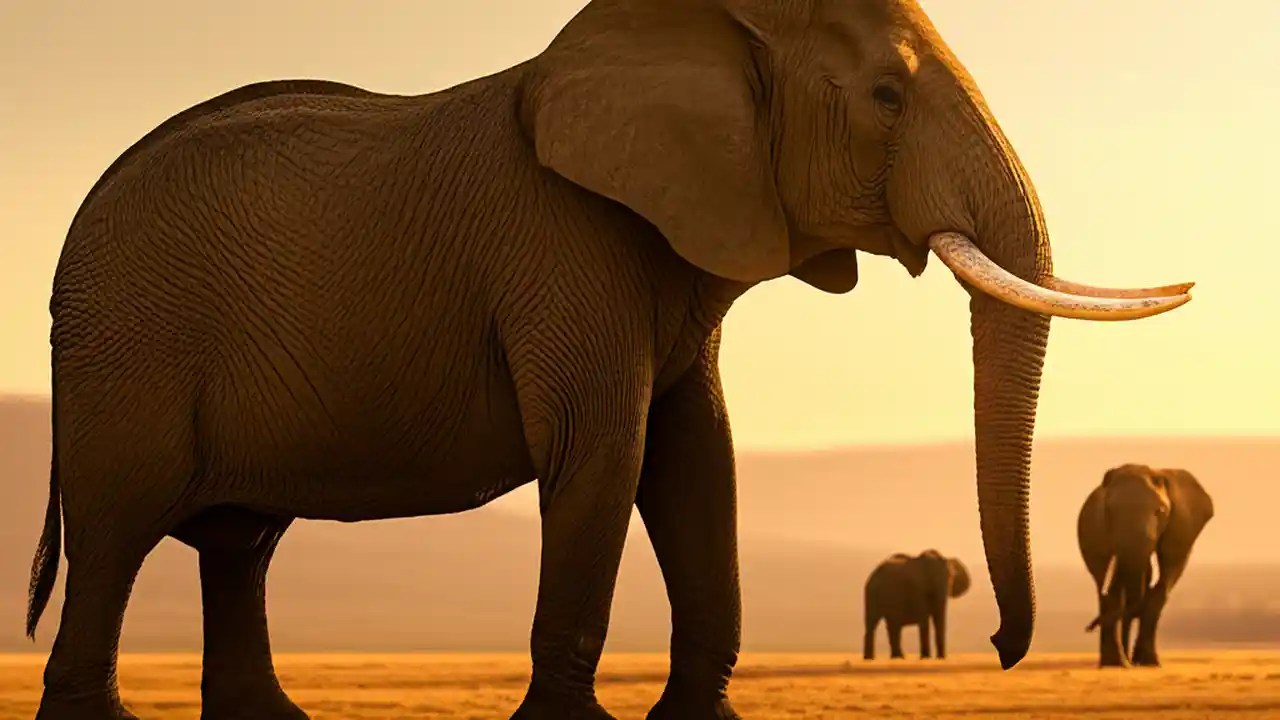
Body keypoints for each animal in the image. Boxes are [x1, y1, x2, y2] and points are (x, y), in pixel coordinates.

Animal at [24, 1, 1195, 718]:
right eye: (886, 99)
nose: (1001, 646)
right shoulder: (563, 242)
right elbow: (605, 451)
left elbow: (697, 463)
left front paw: (701, 716)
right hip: (128, 349)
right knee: (122, 530)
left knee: (239, 543)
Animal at [1077, 464, 1214, 668]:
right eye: (1109, 511)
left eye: (1160, 511)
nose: (1087, 628)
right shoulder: (1096, 533)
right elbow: (1107, 585)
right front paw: (1117, 664)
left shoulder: (1181, 529)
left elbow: (1168, 573)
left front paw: (1149, 663)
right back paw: (1119, 662)